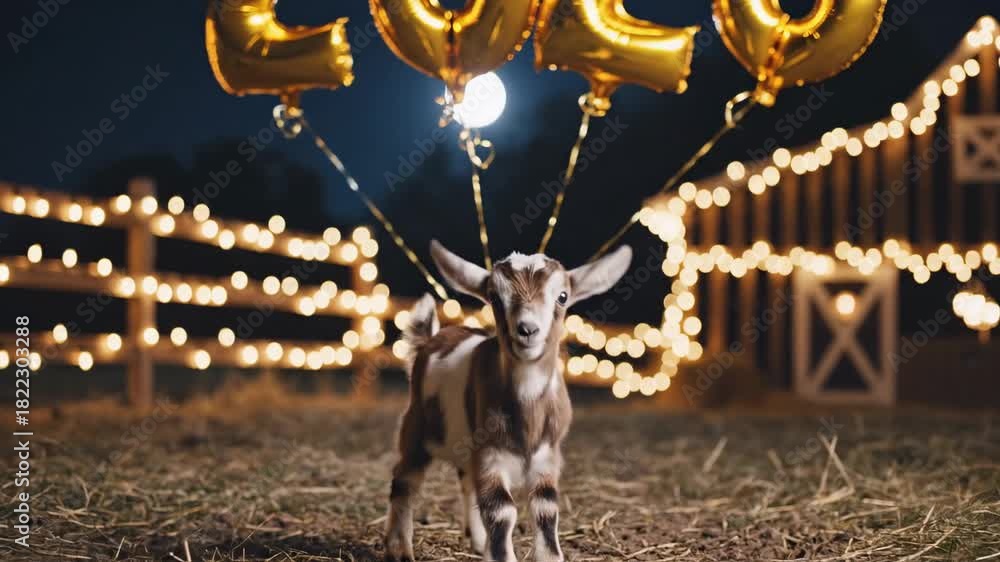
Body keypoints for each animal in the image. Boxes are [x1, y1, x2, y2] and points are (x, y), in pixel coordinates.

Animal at [385, 240, 633, 562]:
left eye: (562, 296)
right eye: (493, 296)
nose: (527, 330)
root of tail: (430, 339)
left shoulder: (547, 455)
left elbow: (545, 510)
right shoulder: (491, 455)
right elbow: (502, 511)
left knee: (466, 482)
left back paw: (478, 543)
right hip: (416, 426)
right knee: (405, 481)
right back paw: (399, 550)